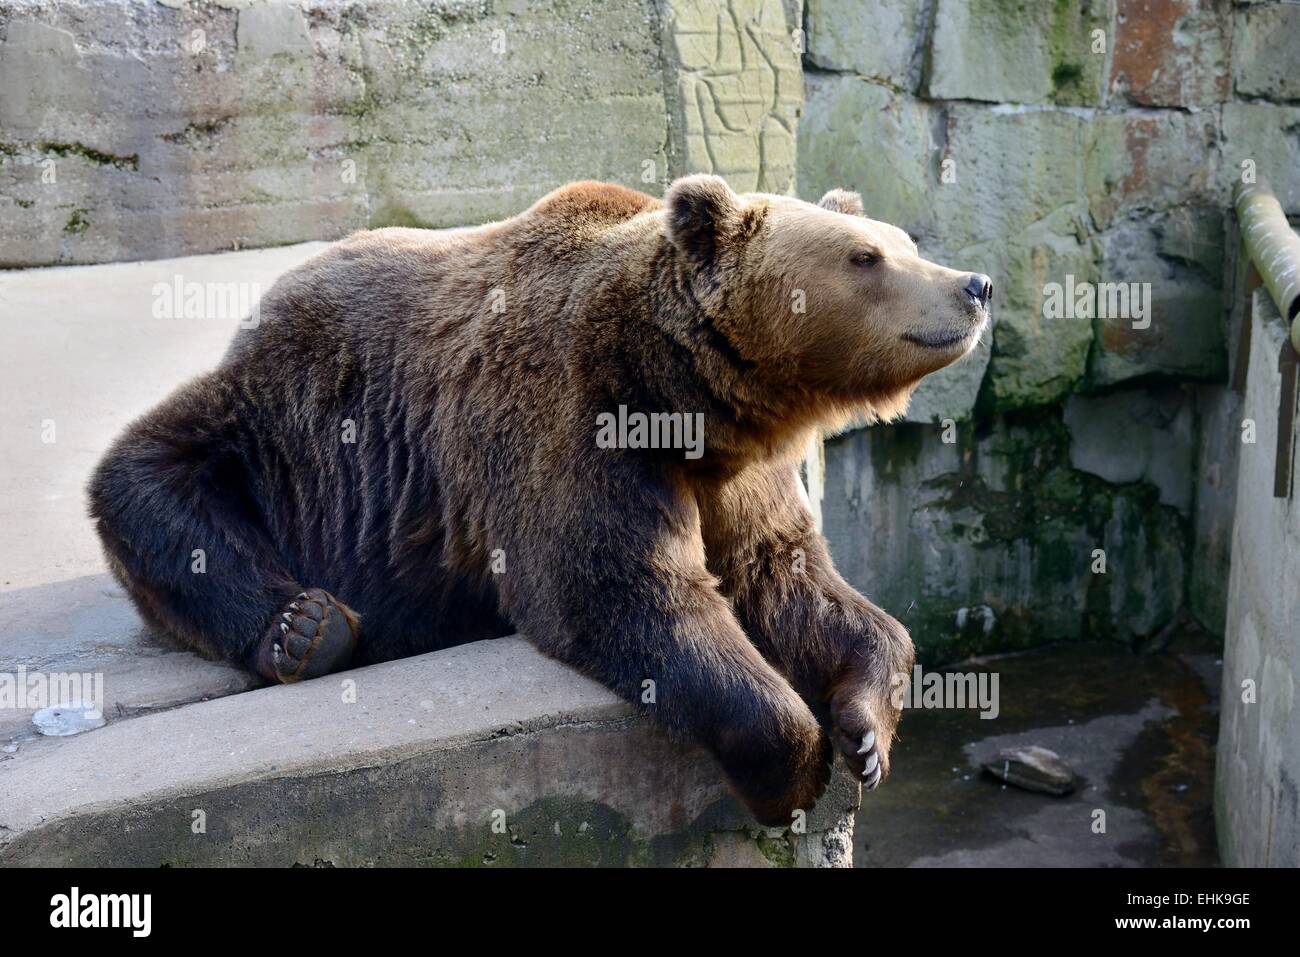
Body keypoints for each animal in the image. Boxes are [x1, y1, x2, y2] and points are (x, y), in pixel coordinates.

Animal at [88, 175, 991, 826]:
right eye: (865, 257)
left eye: (905, 242)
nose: (975, 283)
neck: (689, 399)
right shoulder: (577, 421)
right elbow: (620, 587)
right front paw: (794, 766)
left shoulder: (744, 474)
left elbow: (794, 579)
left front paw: (866, 728)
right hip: (287, 427)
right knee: (152, 475)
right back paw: (306, 629)